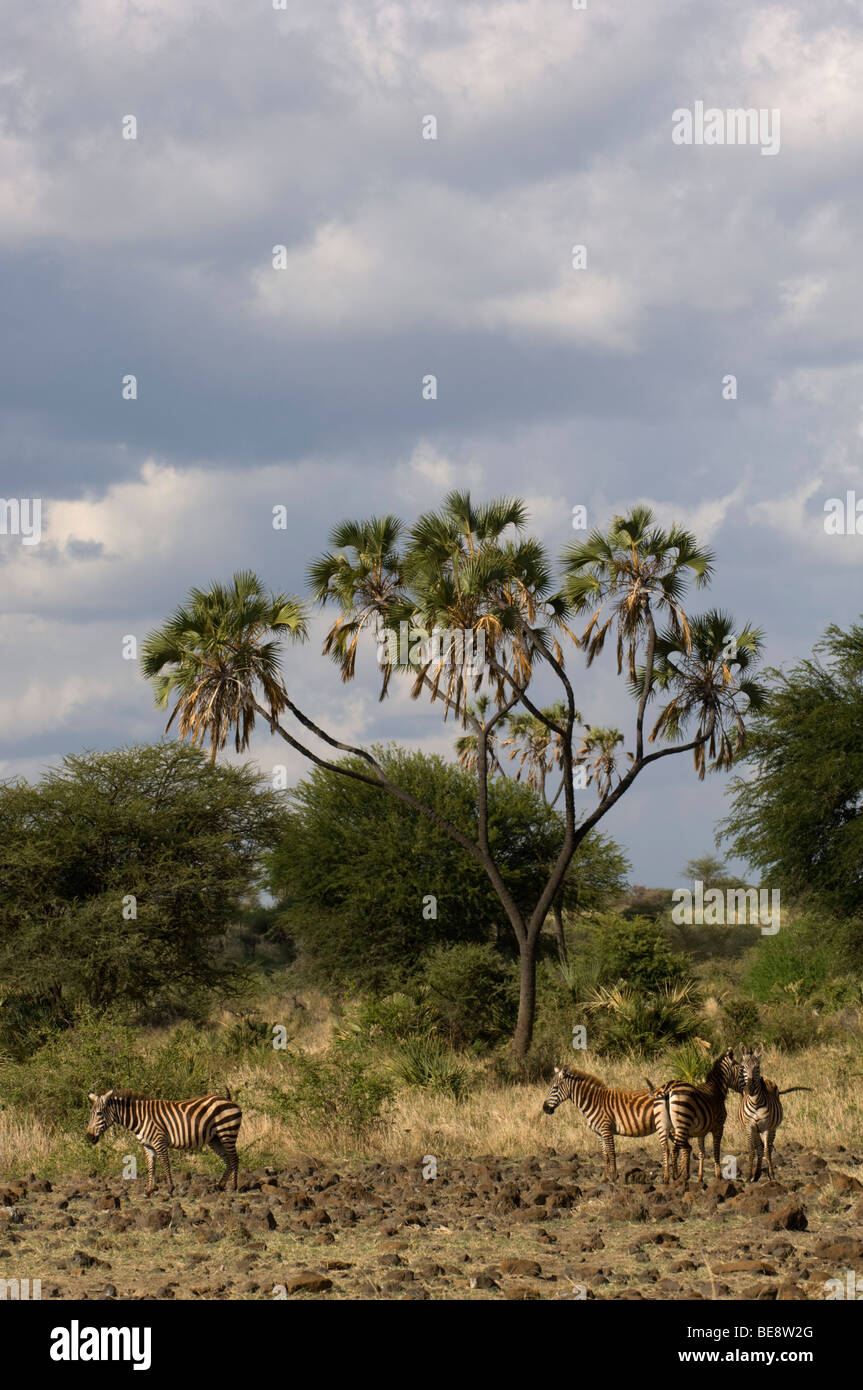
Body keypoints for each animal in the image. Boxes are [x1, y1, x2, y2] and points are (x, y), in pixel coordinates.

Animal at [86, 1088, 242, 1195]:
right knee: (228, 1160)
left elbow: (165, 1164)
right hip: (215, 1139)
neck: (140, 1118)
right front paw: (149, 1190)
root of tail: (228, 1100)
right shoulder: (148, 1146)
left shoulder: (159, 1141)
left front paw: (170, 1188)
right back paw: (220, 1185)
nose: (89, 1137)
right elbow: (151, 1166)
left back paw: (233, 1187)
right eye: (91, 1114)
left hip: (227, 1133)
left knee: (234, 1159)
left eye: (99, 1114)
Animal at [653, 1049, 741, 1186]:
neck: (716, 1089)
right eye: (742, 1069)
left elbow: (701, 1152)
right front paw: (718, 1176)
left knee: (665, 1148)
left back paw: (667, 1178)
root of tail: (668, 1087)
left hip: (665, 1125)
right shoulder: (719, 1126)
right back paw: (675, 1175)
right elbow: (716, 1150)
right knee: (674, 1149)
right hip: (681, 1123)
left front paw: (699, 1177)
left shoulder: (701, 1132)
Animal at [738, 1044, 812, 1182]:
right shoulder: (750, 1127)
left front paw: (771, 1175)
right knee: (759, 1148)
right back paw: (756, 1174)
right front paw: (749, 1176)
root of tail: (767, 1080)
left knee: (768, 1148)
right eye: (743, 1067)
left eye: (757, 1067)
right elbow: (751, 1151)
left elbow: (767, 1151)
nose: (750, 1088)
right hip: (756, 1130)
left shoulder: (766, 1127)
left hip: (773, 1128)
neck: (755, 1102)